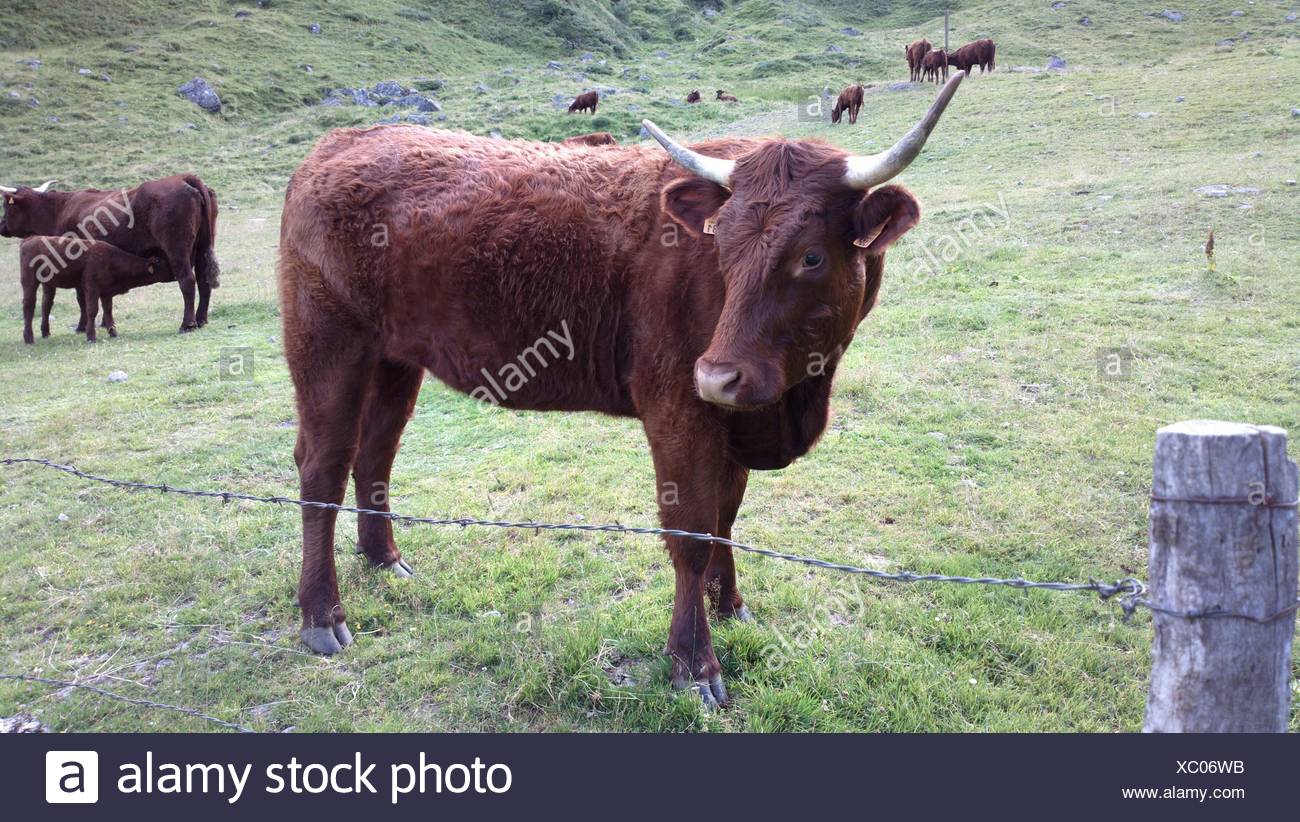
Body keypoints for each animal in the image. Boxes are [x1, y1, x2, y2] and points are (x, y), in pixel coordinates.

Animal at [0, 174, 219, 332]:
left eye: (5, 206)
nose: (1, 226)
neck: (59, 209)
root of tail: (184, 177)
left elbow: (81, 297)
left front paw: (82, 326)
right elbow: (105, 296)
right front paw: (106, 323)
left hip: (177, 251)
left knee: (187, 281)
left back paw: (187, 324)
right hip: (203, 249)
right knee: (204, 281)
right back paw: (201, 320)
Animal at [19, 236, 168, 343]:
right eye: (163, 264)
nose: (174, 270)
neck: (110, 259)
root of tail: (30, 239)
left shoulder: (107, 293)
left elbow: (108, 311)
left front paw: (113, 333)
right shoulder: (92, 288)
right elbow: (92, 310)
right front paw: (91, 336)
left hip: (48, 284)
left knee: (46, 305)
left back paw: (46, 333)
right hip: (29, 282)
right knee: (29, 306)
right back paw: (29, 338)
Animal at [277, 74, 964, 706]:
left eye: (812, 255)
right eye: (720, 244)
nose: (717, 374)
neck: (795, 399)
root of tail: (341, 142)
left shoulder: (733, 417)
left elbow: (726, 516)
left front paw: (730, 604)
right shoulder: (678, 408)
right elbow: (691, 532)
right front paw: (694, 665)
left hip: (395, 359)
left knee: (375, 453)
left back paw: (384, 559)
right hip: (327, 344)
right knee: (323, 467)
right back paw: (323, 616)